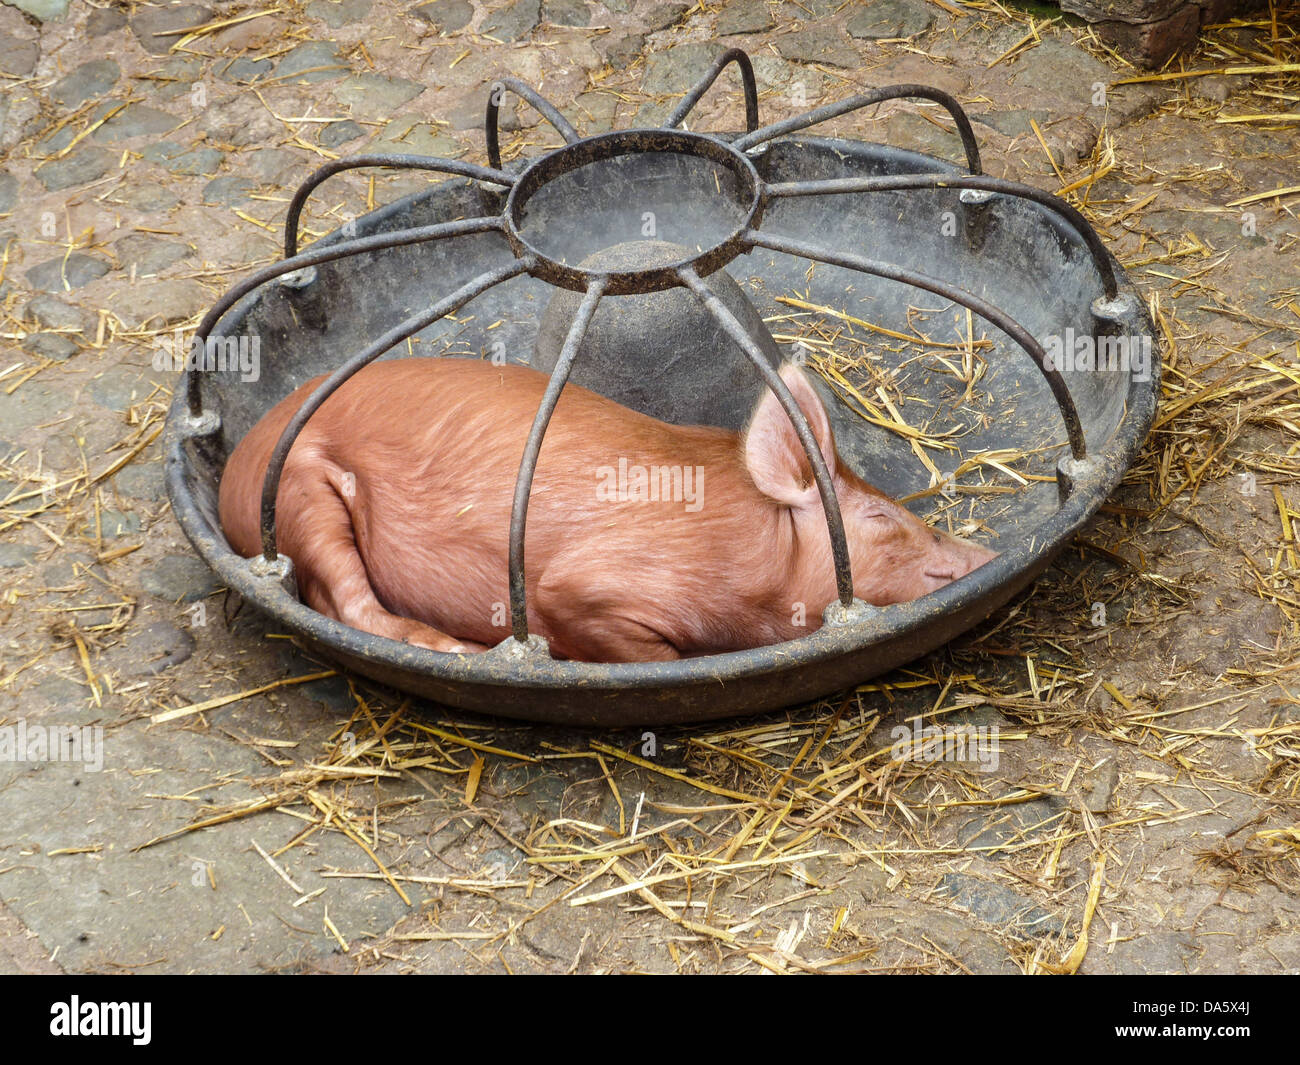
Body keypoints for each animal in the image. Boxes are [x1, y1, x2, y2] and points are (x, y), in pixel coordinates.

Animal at [219, 359, 997, 662]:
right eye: (885, 520)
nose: (985, 557)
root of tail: (236, 468)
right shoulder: (587, 585)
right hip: (299, 488)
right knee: (345, 600)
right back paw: (455, 651)